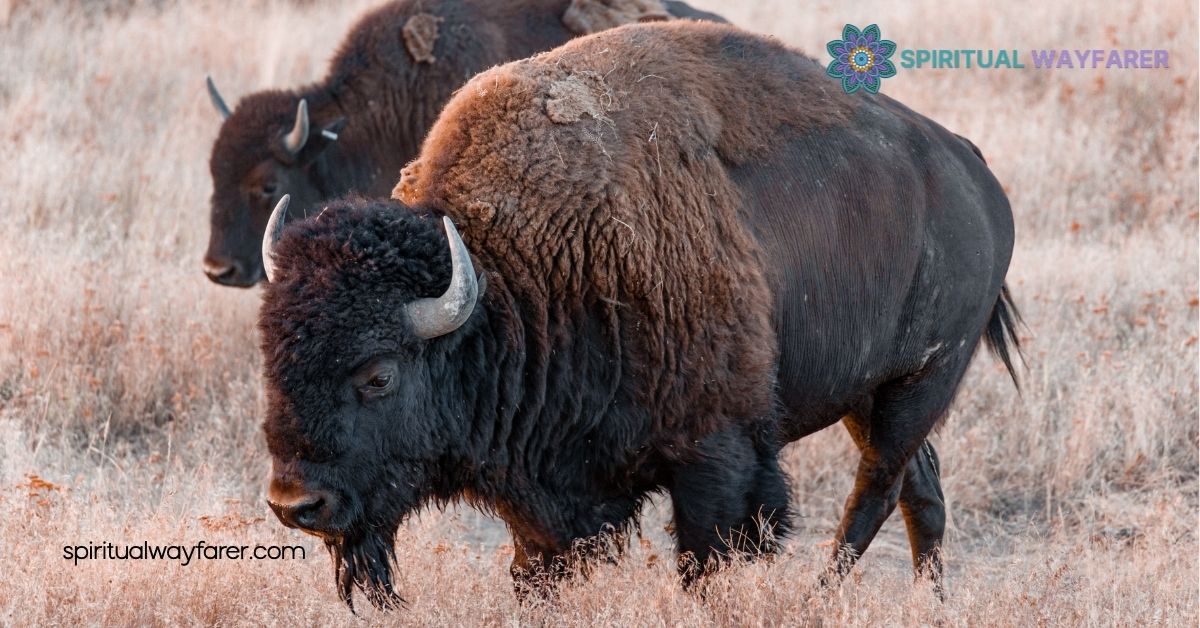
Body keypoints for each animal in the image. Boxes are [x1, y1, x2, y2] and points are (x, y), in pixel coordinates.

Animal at [256, 21, 1021, 609]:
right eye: (272, 358)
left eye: (379, 375)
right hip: (869, 393)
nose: (296, 504)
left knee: (877, 489)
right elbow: (537, 570)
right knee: (921, 489)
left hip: (919, 382)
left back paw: (822, 596)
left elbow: (707, 562)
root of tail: (975, 171)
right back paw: (931, 601)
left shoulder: (718, 458)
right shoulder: (548, 498)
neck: (515, 277)